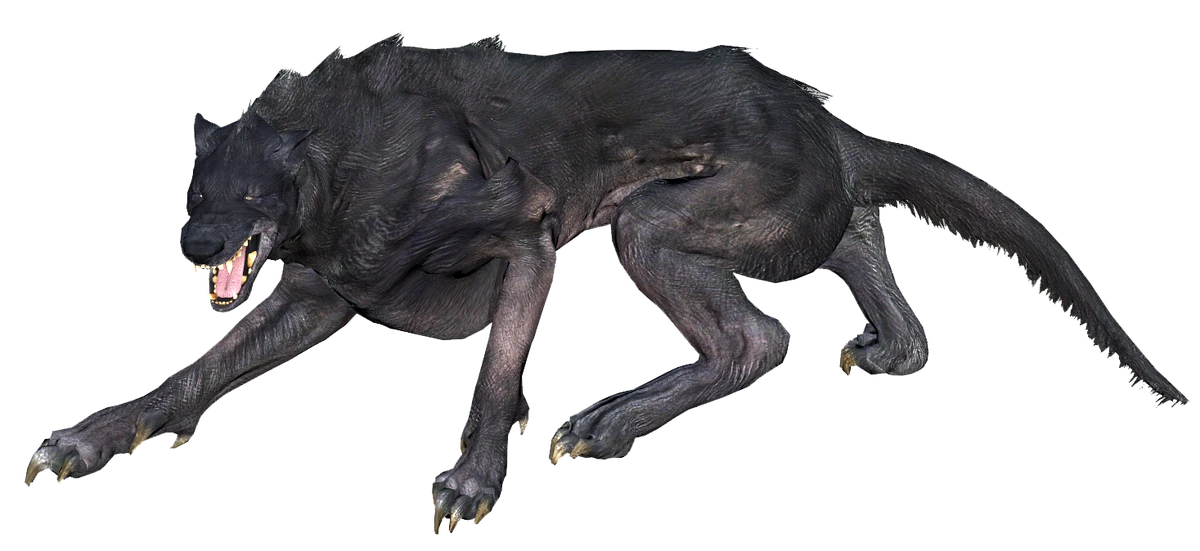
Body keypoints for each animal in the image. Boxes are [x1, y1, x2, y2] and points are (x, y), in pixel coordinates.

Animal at [25, 34, 1188, 532]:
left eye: (243, 189)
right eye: (190, 192)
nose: (194, 243)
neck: (338, 158)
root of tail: (823, 116)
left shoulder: (527, 241)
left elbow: (496, 373)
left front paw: (469, 485)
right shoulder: (322, 293)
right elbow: (191, 372)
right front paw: (81, 442)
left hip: (651, 222)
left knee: (759, 335)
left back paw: (605, 422)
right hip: (743, 223)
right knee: (857, 227)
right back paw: (893, 348)